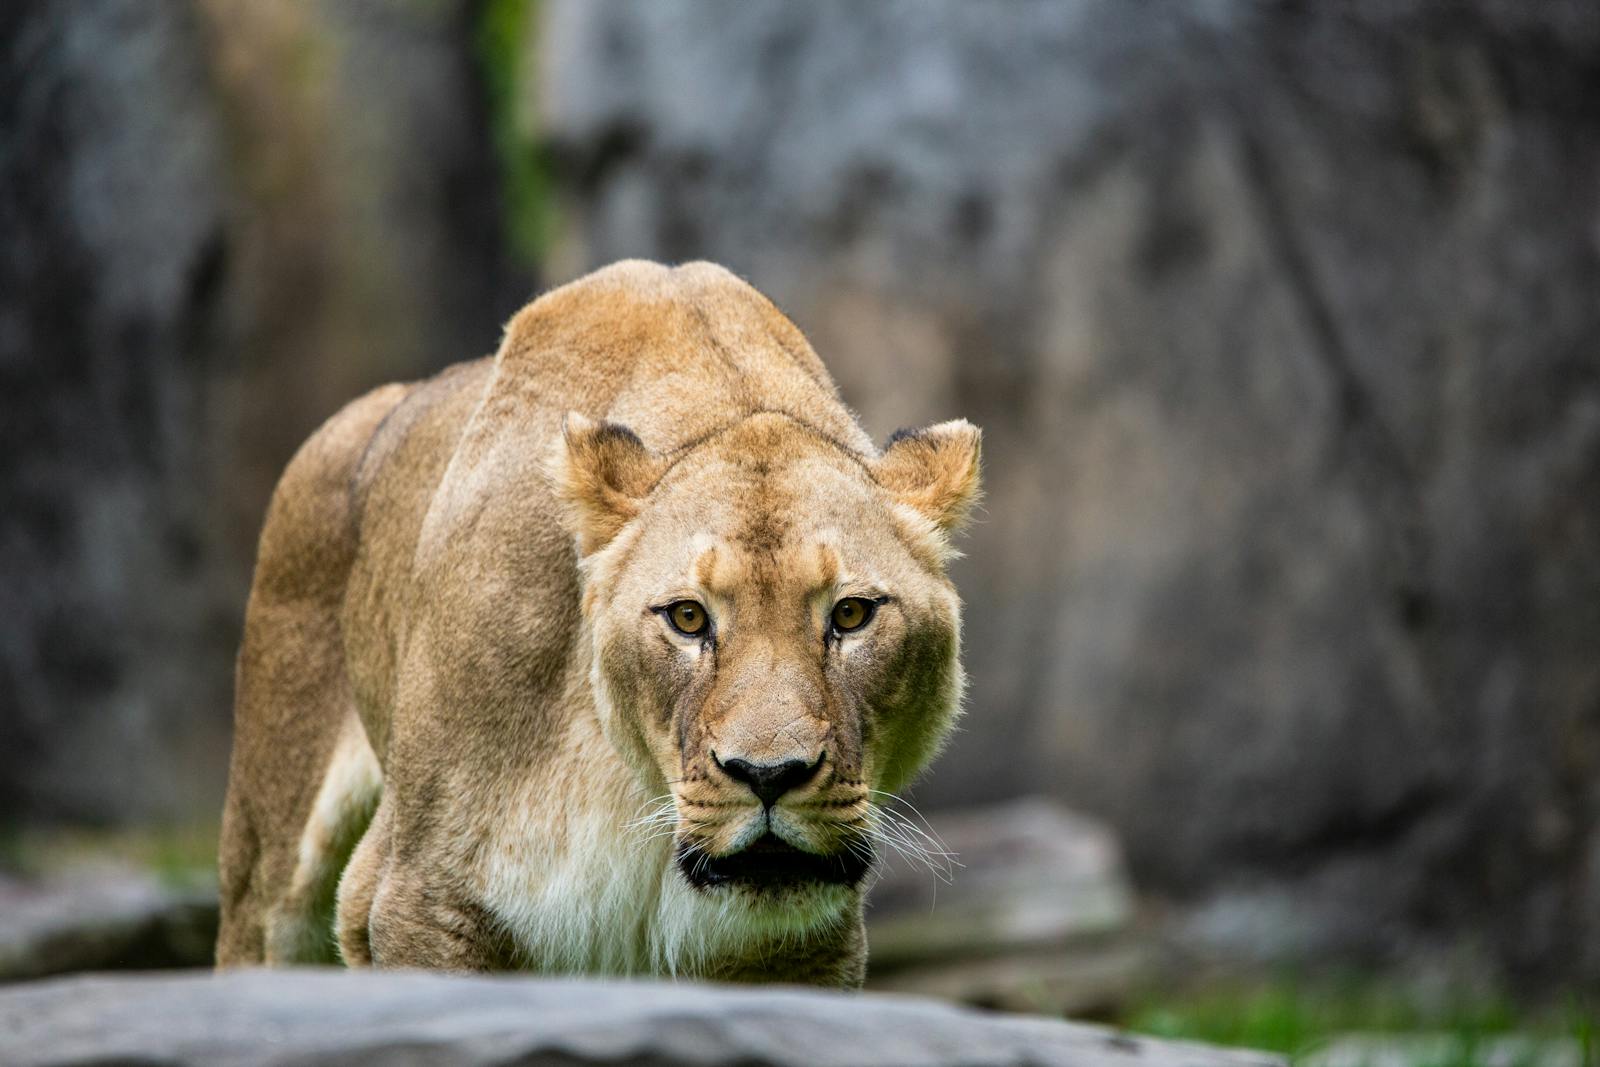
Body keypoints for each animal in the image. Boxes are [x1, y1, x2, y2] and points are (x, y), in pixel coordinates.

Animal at [215, 260, 980, 987]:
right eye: (688, 617)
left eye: (850, 614)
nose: (769, 774)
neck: (635, 792)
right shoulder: (420, 895)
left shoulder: (801, 950)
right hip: (271, 868)